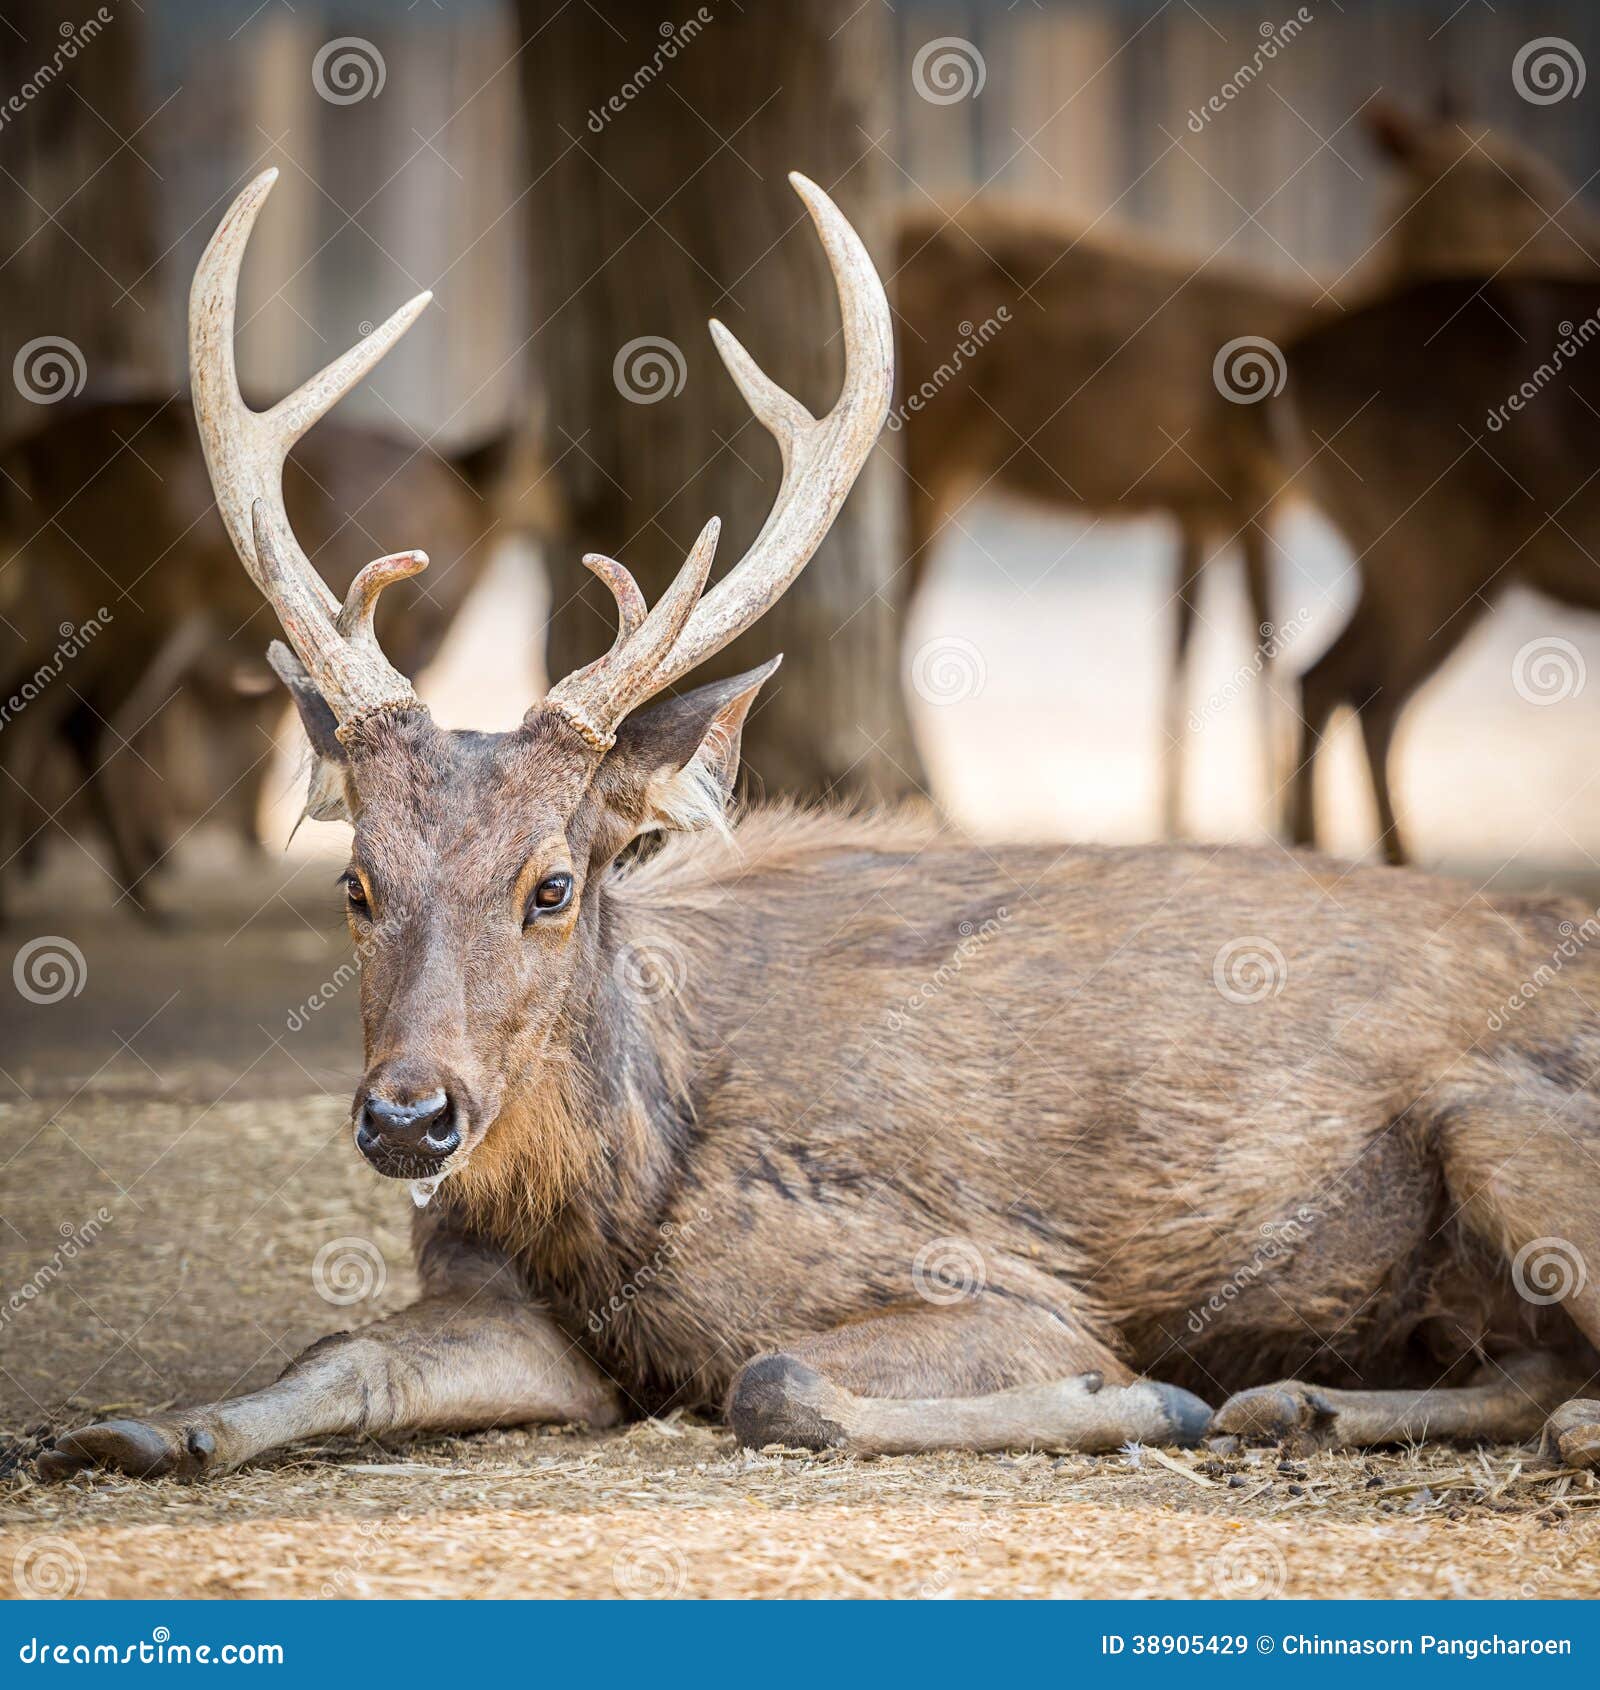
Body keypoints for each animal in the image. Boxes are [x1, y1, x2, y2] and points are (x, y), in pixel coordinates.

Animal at [39, 168, 1600, 1483]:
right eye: (355, 884)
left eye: (554, 883)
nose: (410, 1117)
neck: (615, 1195)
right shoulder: (515, 1306)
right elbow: (338, 1350)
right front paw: (126, 1429)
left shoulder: (986, 1271)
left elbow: (772, 1375)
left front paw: (1143, 1396)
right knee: (1528, 1365)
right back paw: (1307, 1403)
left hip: (1499, 1126)